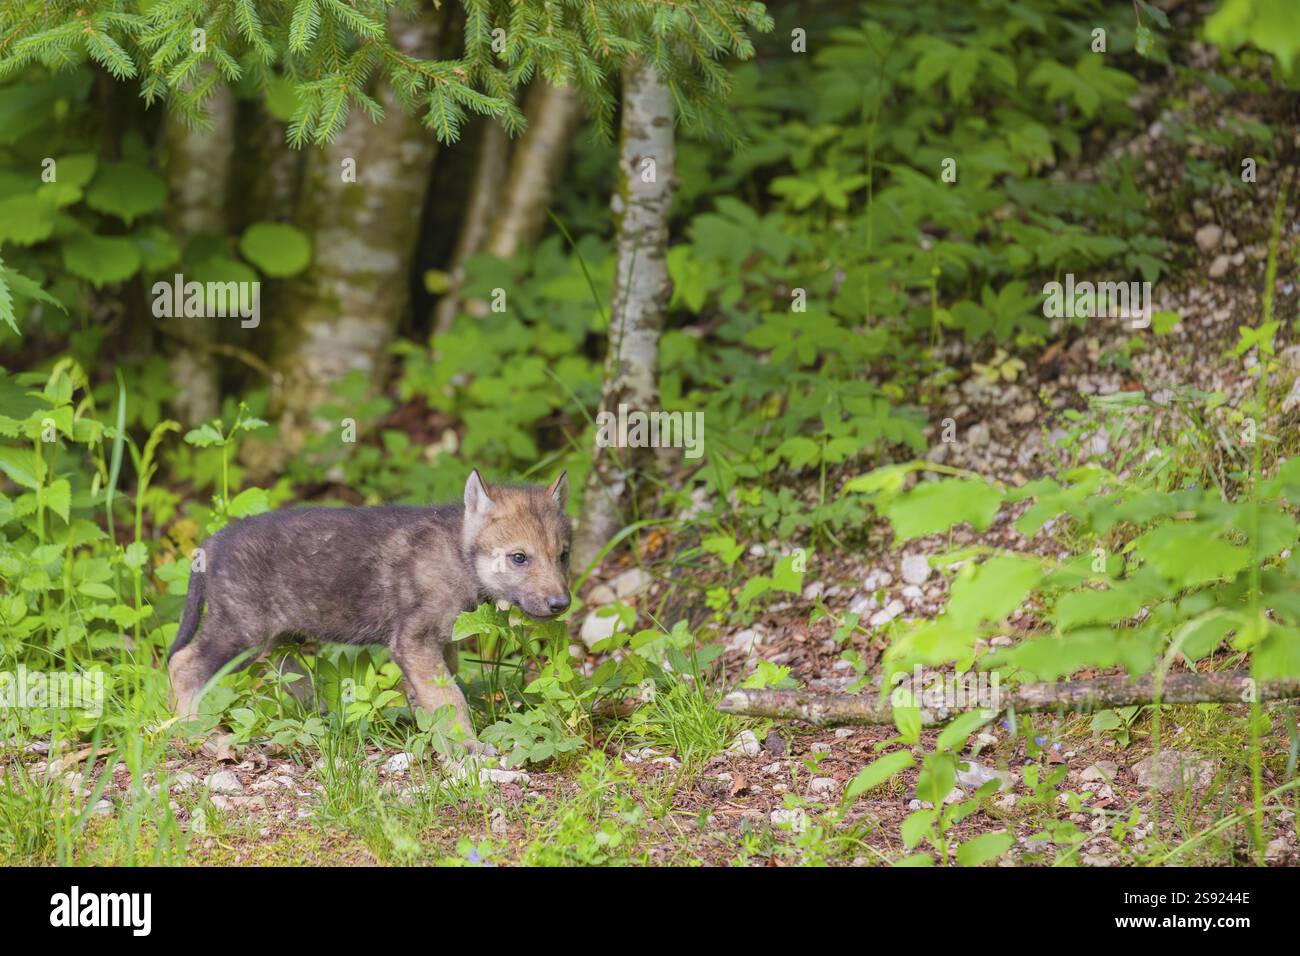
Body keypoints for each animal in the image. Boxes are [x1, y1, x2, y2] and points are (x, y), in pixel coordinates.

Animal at [168, 470, 571, 742]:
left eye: (563, 555)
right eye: (519, 558)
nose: (561, 603)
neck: (459, 554)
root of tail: (213, 541)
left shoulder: (439, 641)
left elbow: (438, 690)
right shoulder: (412, 638)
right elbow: (450, 697)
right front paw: (468, 748)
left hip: (278, 637)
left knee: (286, 672)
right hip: (241, 632)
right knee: (183, 664)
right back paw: (193, 731)